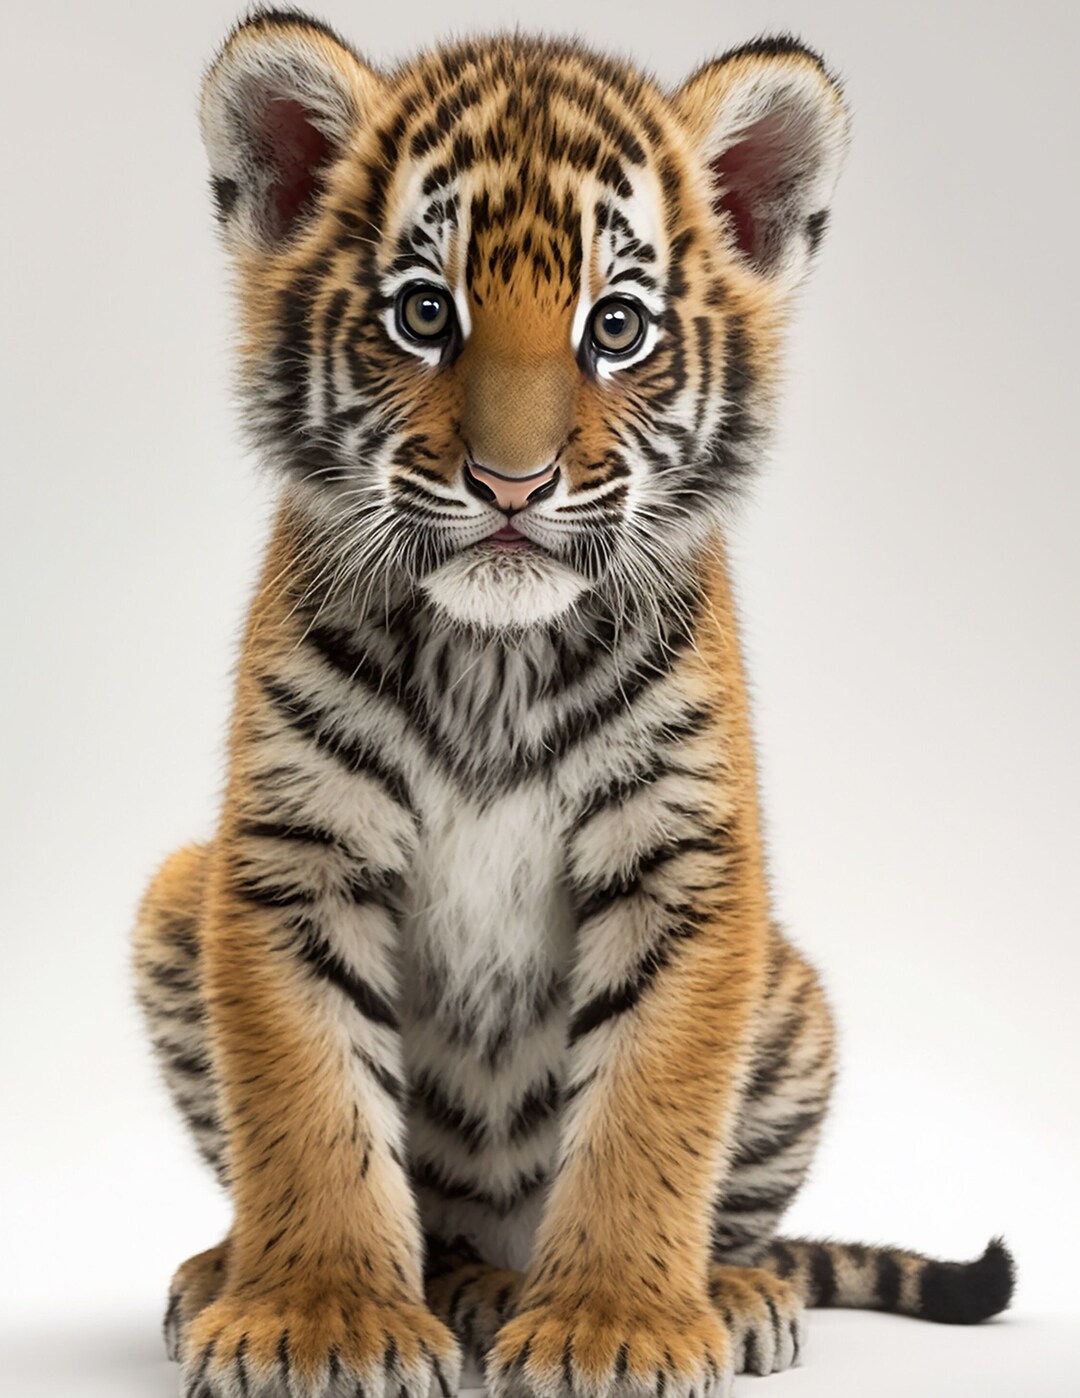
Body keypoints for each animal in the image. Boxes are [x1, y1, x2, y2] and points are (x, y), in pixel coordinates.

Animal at [132, 10, 1015, 1398]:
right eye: (424, 313)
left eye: (616, 326)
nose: (512, 482)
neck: (495, 655)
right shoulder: (293, 852)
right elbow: (308, 1108)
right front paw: (320, 1316)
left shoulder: (685, 864)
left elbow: (649, 1116)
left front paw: (616, 1324)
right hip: (178, 890)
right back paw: (258, 1273)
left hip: (793, 996)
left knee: (736, 1215)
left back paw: (720, 1292)